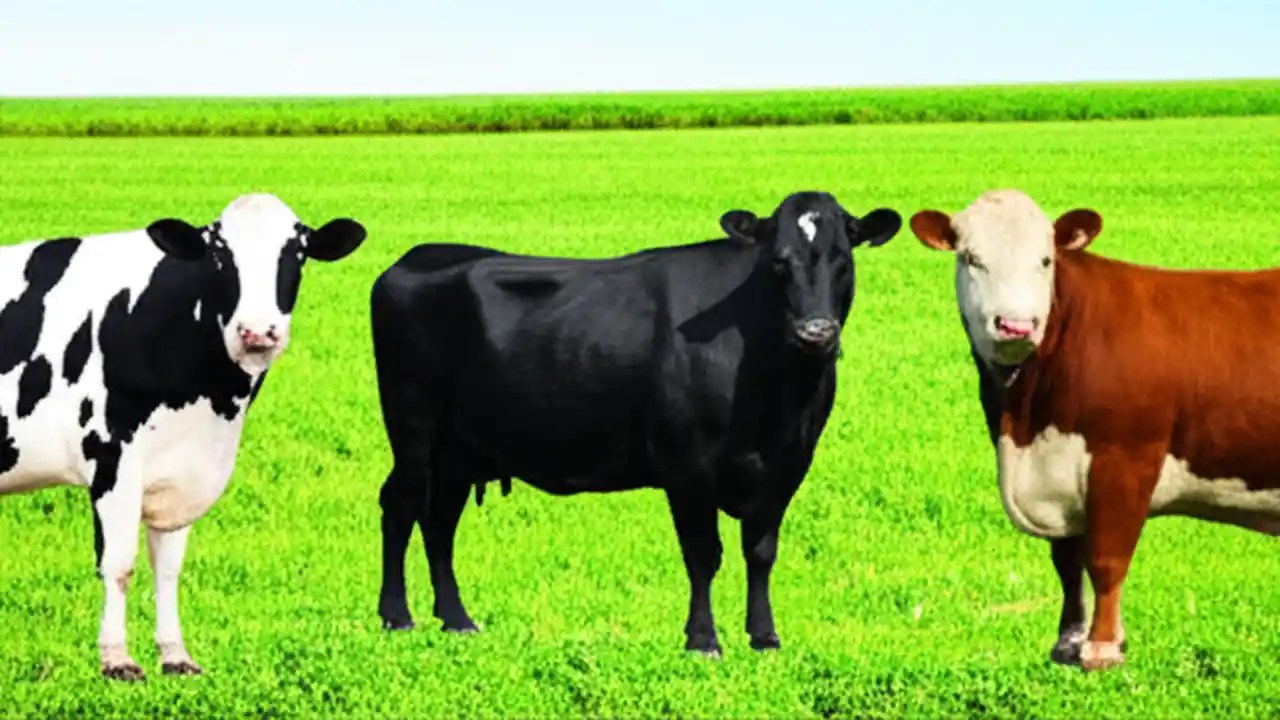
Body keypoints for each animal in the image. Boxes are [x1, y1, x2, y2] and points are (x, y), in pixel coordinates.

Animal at [0, 193, 365, 680]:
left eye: (298, 252)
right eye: (219, 254)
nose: (256, 331)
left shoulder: (183, 473)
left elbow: (169, 568)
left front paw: (175, 655)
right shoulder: (112, 459)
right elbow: (118, 564)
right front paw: (117, 660)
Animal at [372, 191, 902, 654]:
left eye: (843, 260)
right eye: (778, 262)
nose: (816, 333)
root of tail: (418, 255)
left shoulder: (785, 466)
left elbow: (760, 551)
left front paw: (764, 636)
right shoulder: (688, 467)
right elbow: (703, 554)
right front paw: (703, 640)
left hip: (457, 451)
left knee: (440, 522)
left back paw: (456, 618)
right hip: (413, 429)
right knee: (400, 505)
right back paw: (397, 615)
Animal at [910, 188, 1280, 671]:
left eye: (1045, 260)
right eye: (971, 258)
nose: (1016, 325)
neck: (1025, 421)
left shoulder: (1124, 458)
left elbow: (1106, 559)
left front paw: (1102, 648)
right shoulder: (1059, 474)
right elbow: (1067, 563)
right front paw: (1068, 640)